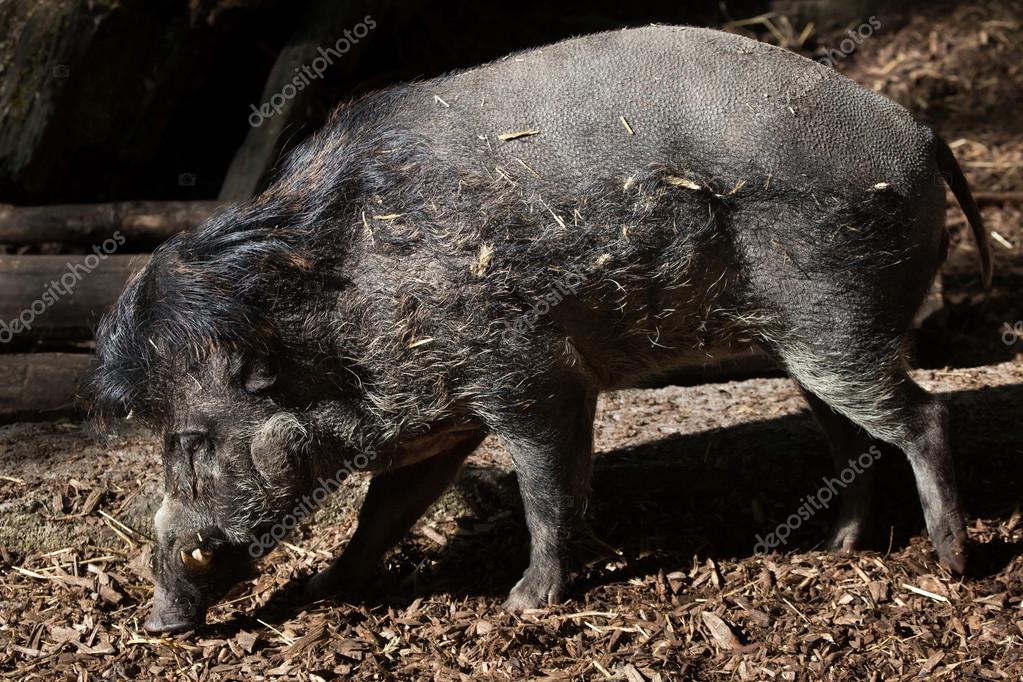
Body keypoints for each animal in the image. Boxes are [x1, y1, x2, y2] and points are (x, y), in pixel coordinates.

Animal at [88, 25, 992, 633]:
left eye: (192, 441)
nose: (157, 624)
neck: (339, 320)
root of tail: (917, 130)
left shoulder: (533, 377)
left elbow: (545, 491)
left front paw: (522, 604)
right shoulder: (439, 419)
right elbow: (384, 512)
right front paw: (325, 591)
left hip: (839, 322)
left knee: (923, 416)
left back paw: (951, 561)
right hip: (807, 348)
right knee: (849, 442)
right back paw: (833, 552)